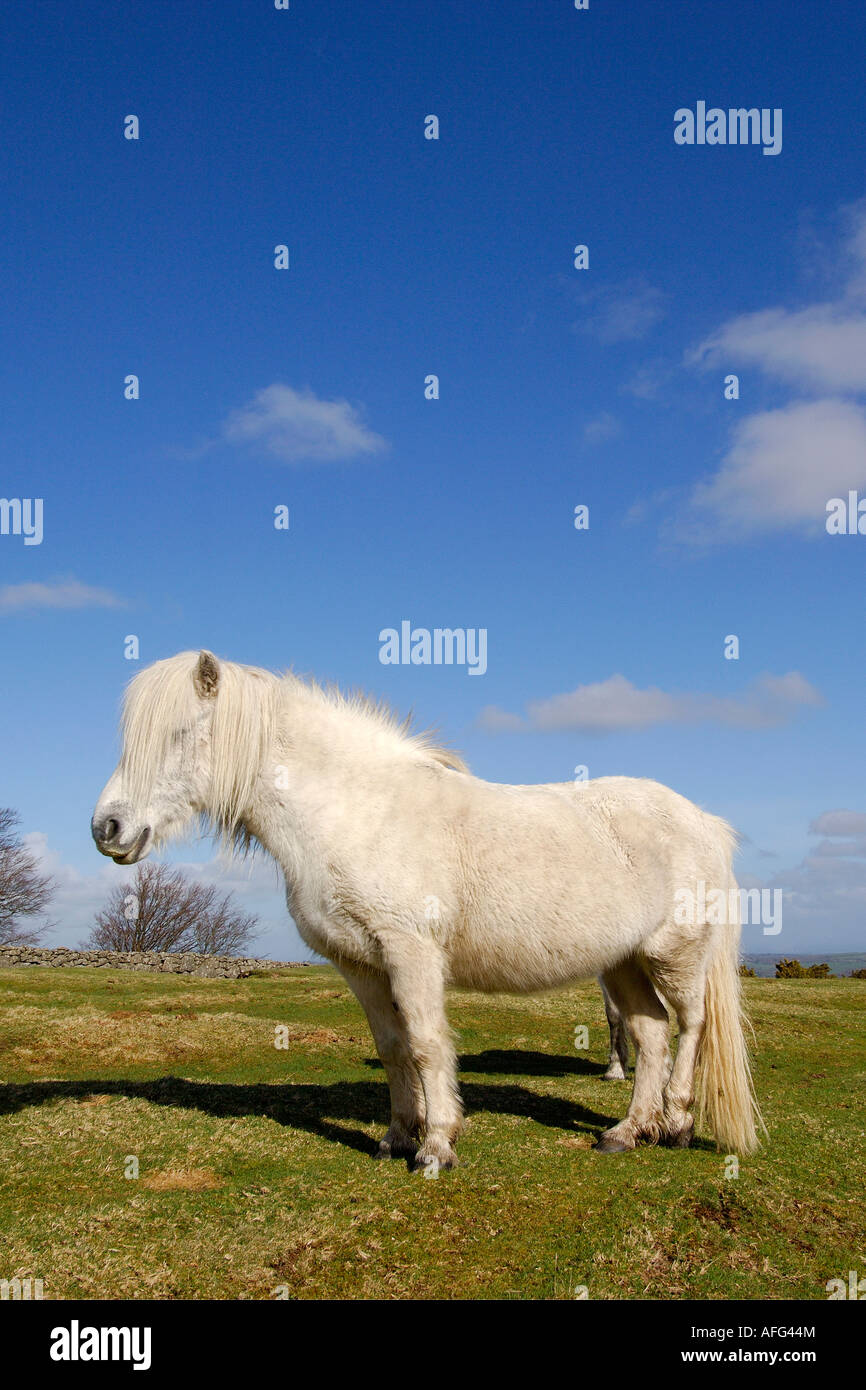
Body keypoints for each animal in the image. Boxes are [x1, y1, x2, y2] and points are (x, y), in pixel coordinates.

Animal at [91, 649, 763, 1170]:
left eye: (180, 733)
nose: (107, 828)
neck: (358, 809)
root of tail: (704, 821)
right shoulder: (360, 965)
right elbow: (393, 1047)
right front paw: (396, 1138)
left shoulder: (411, 954)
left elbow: (426, 1043)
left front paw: (437, 1146)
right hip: (622, 962)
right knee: (650, 1033)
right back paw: (626, 1133)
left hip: (675, 957)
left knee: (691, 1026)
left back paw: (677, 1125)